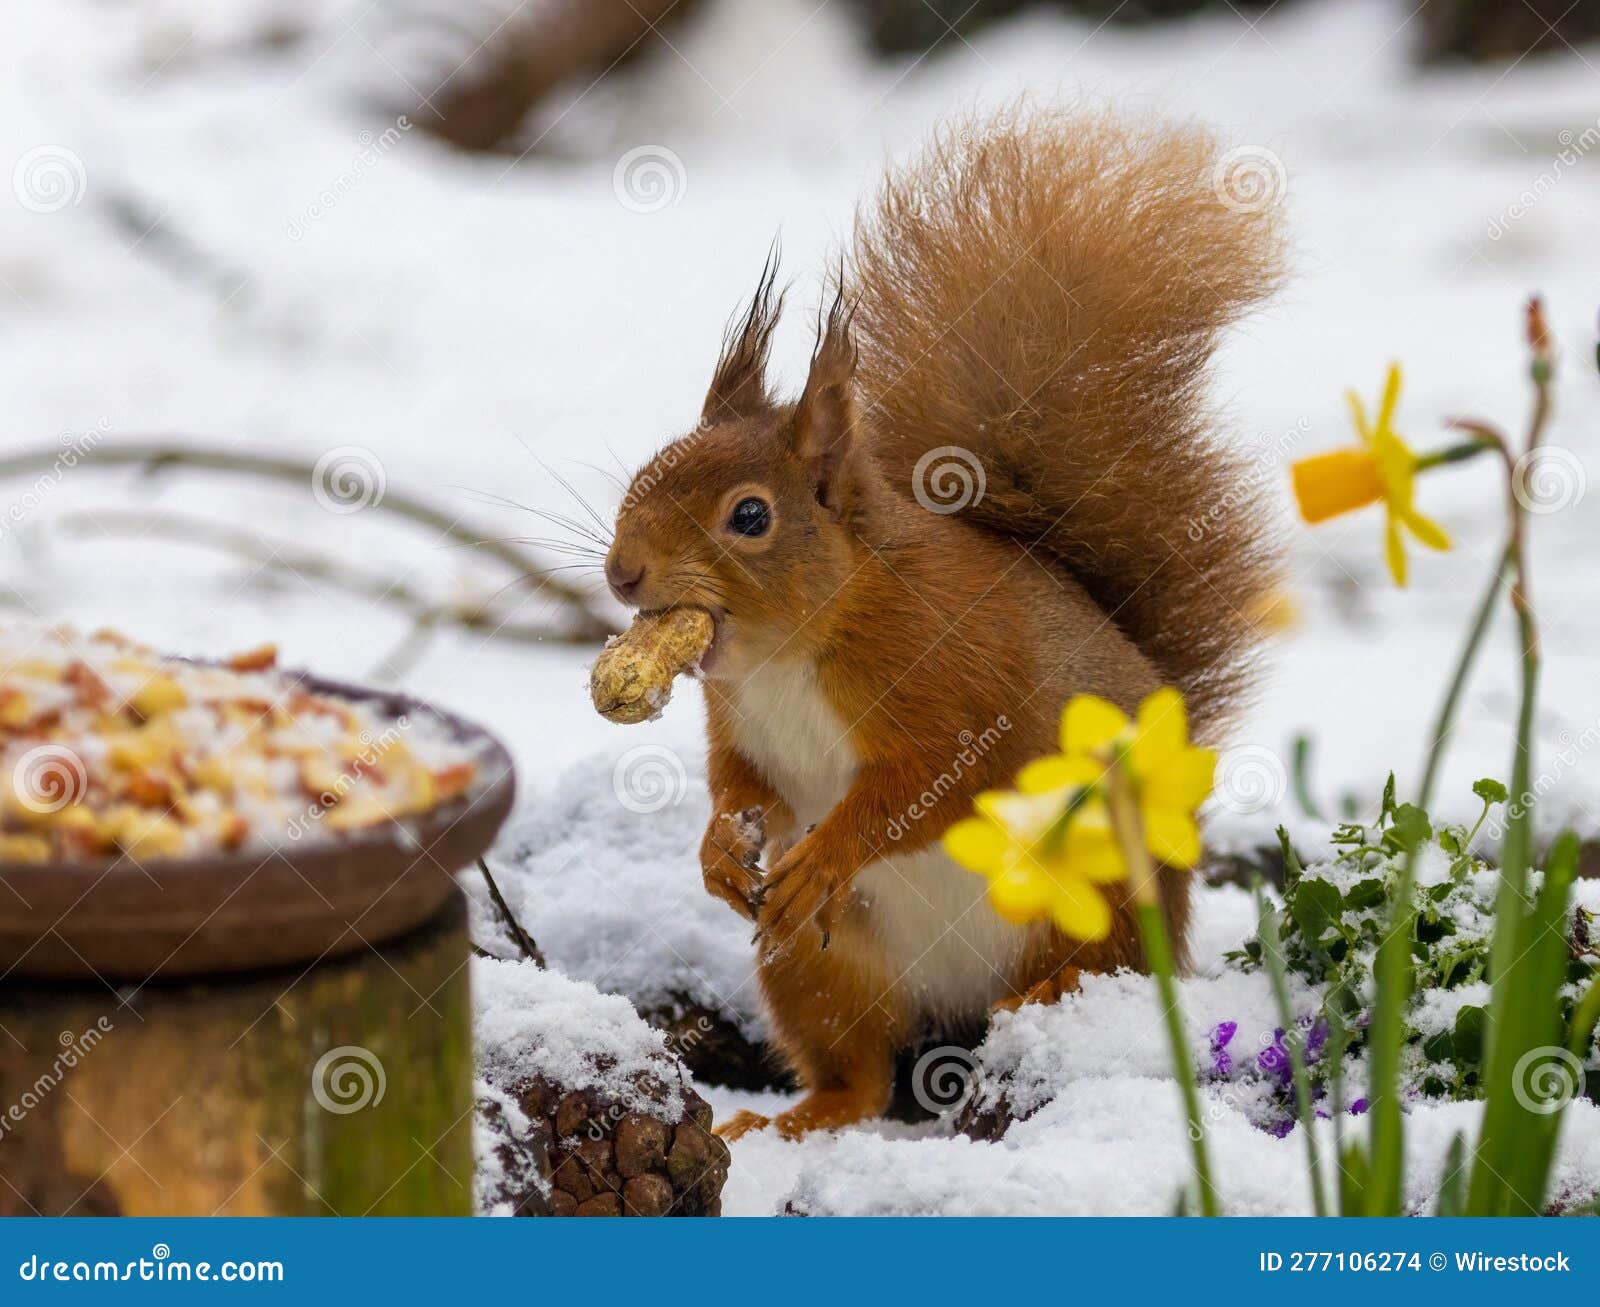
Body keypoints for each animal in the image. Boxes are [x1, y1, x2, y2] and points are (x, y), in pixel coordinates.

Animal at [603, 106, 1285, 1141]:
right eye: (647, 468)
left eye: (750, 516)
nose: (621, 571)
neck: (793, 652)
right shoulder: (740, 724)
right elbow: (743, 786)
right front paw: (722, 851)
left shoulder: (960, 688)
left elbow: (922, 786)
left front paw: (828, 848)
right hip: (816, 964)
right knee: (862, 1072)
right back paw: (790, 1118)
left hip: (1096, 891)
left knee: (1102, 966)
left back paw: (1052, 990)